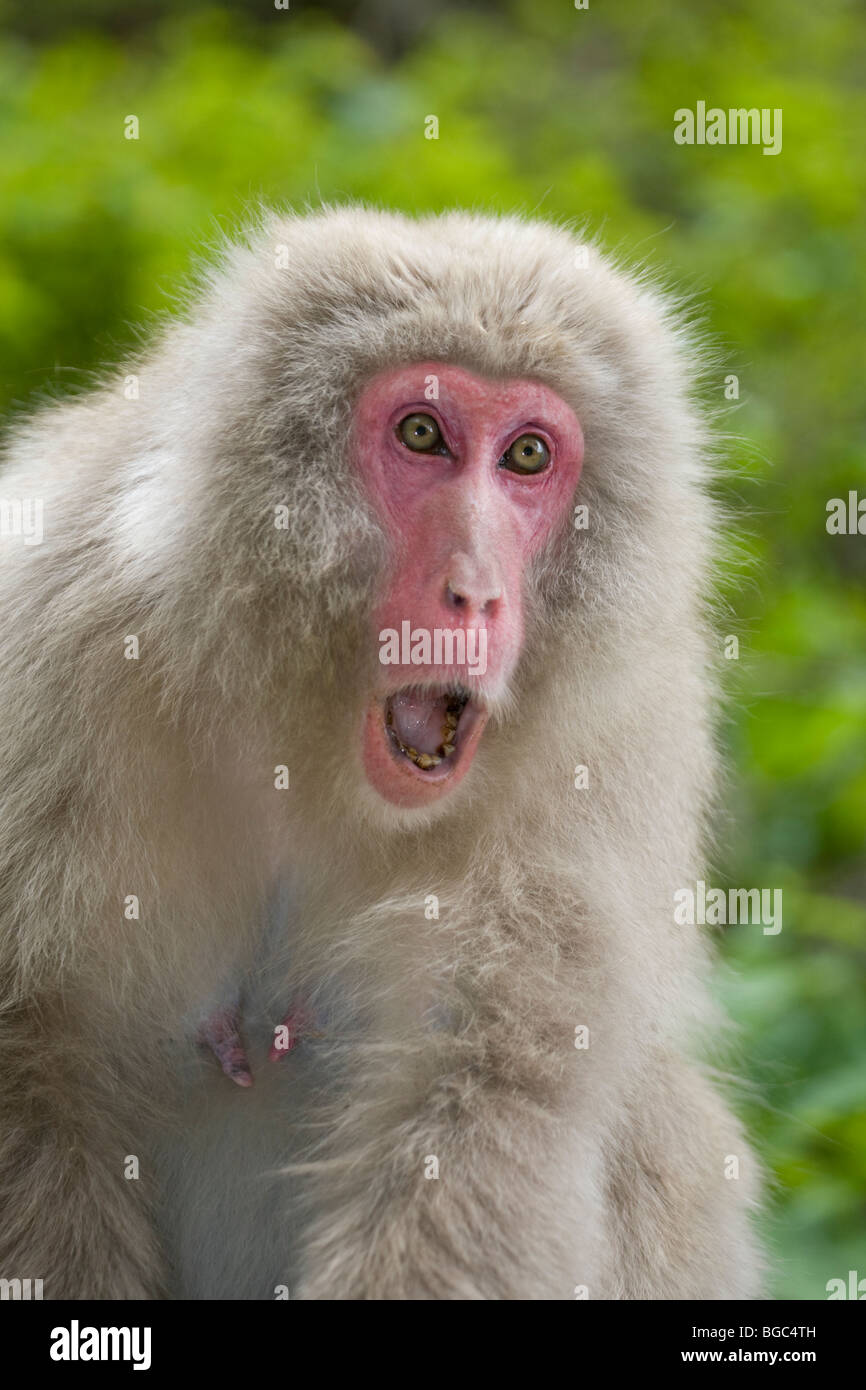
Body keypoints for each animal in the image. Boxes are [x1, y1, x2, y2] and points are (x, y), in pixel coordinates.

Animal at [0, 206, 763, 1300]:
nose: (476, 592)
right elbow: (35, 1068)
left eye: (527, 456)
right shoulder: (45, 643)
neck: (304, 739)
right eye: (421, 435)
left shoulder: (602, 758)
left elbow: (472, 1106)